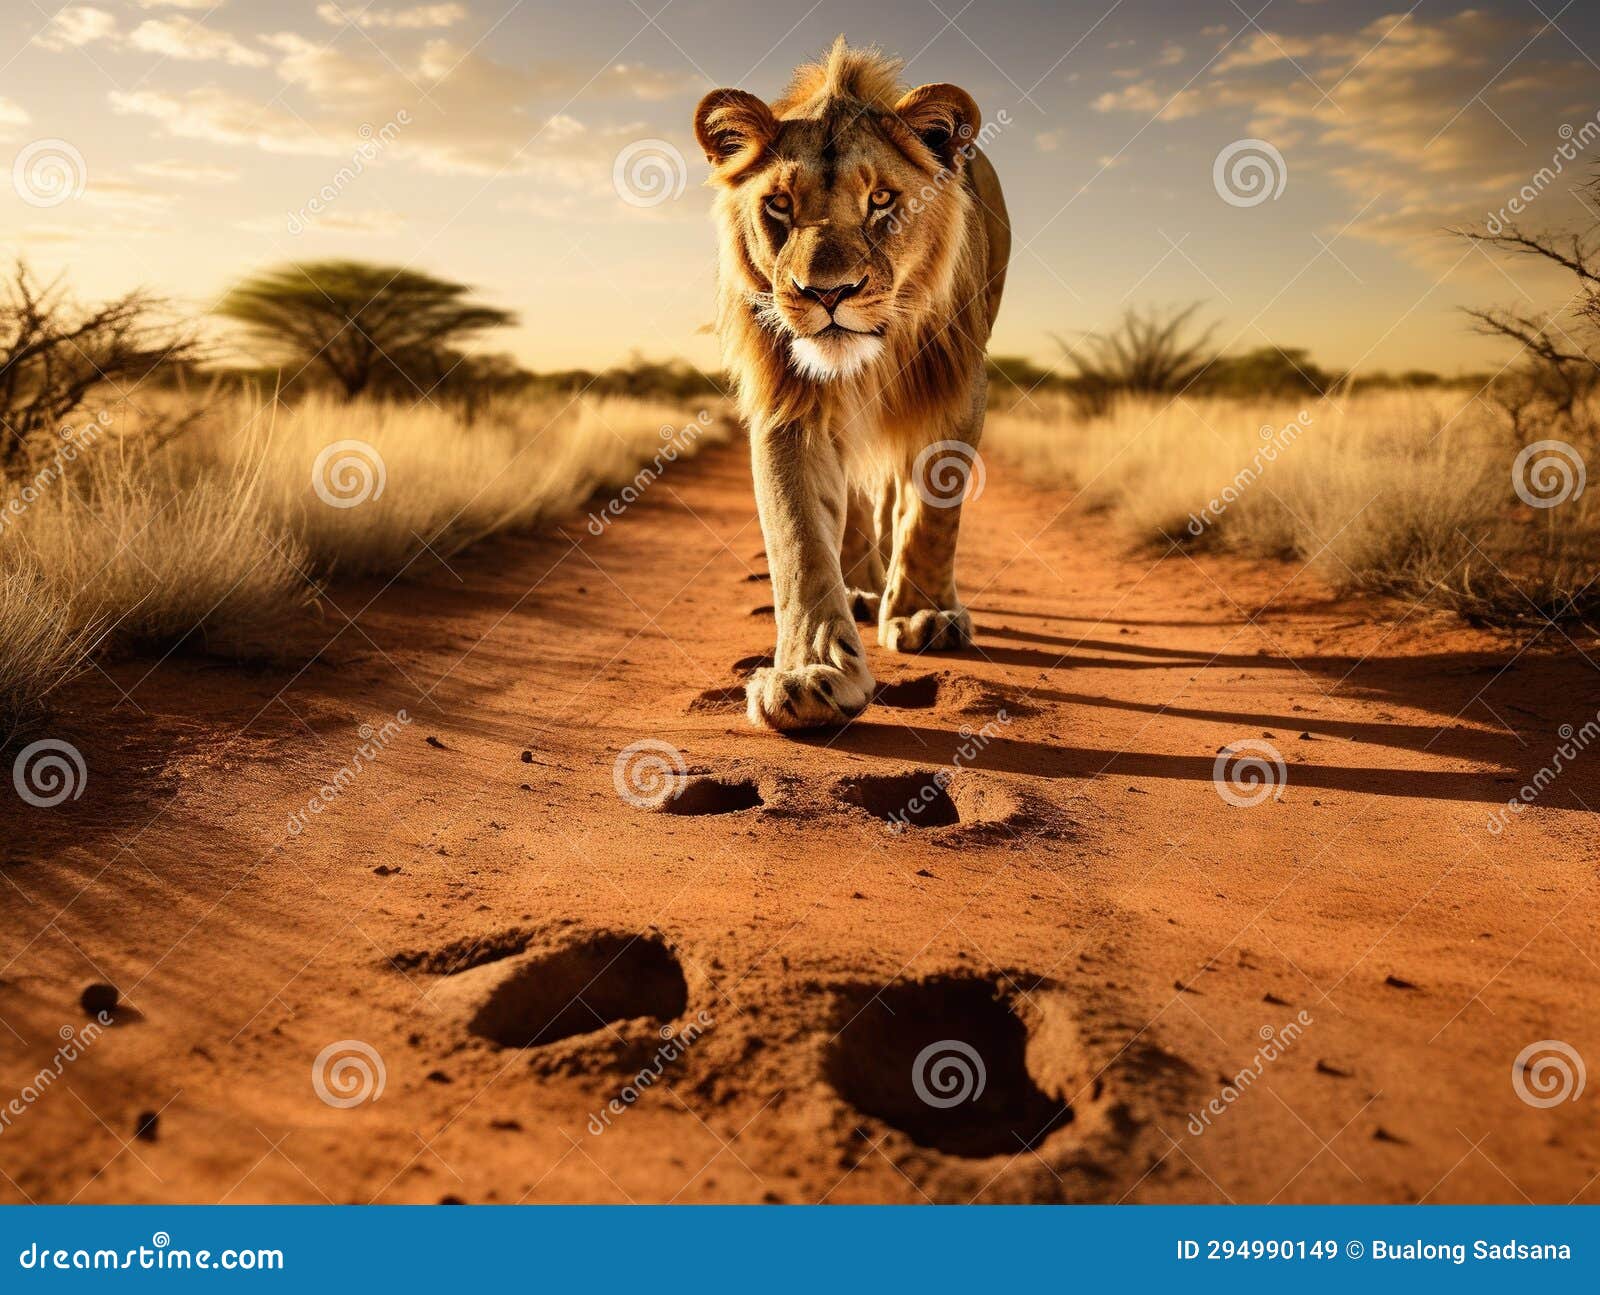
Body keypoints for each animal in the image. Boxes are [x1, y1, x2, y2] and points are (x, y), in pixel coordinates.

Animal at [694, 37, 1009, 731]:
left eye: (883, 201)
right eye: (780, 205)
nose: (827, 292)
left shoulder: (958, 389)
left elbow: (933, 510)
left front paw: (923, 615)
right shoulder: (789, 403)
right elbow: (799, 538)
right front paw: (810, 674)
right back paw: (863, 586)